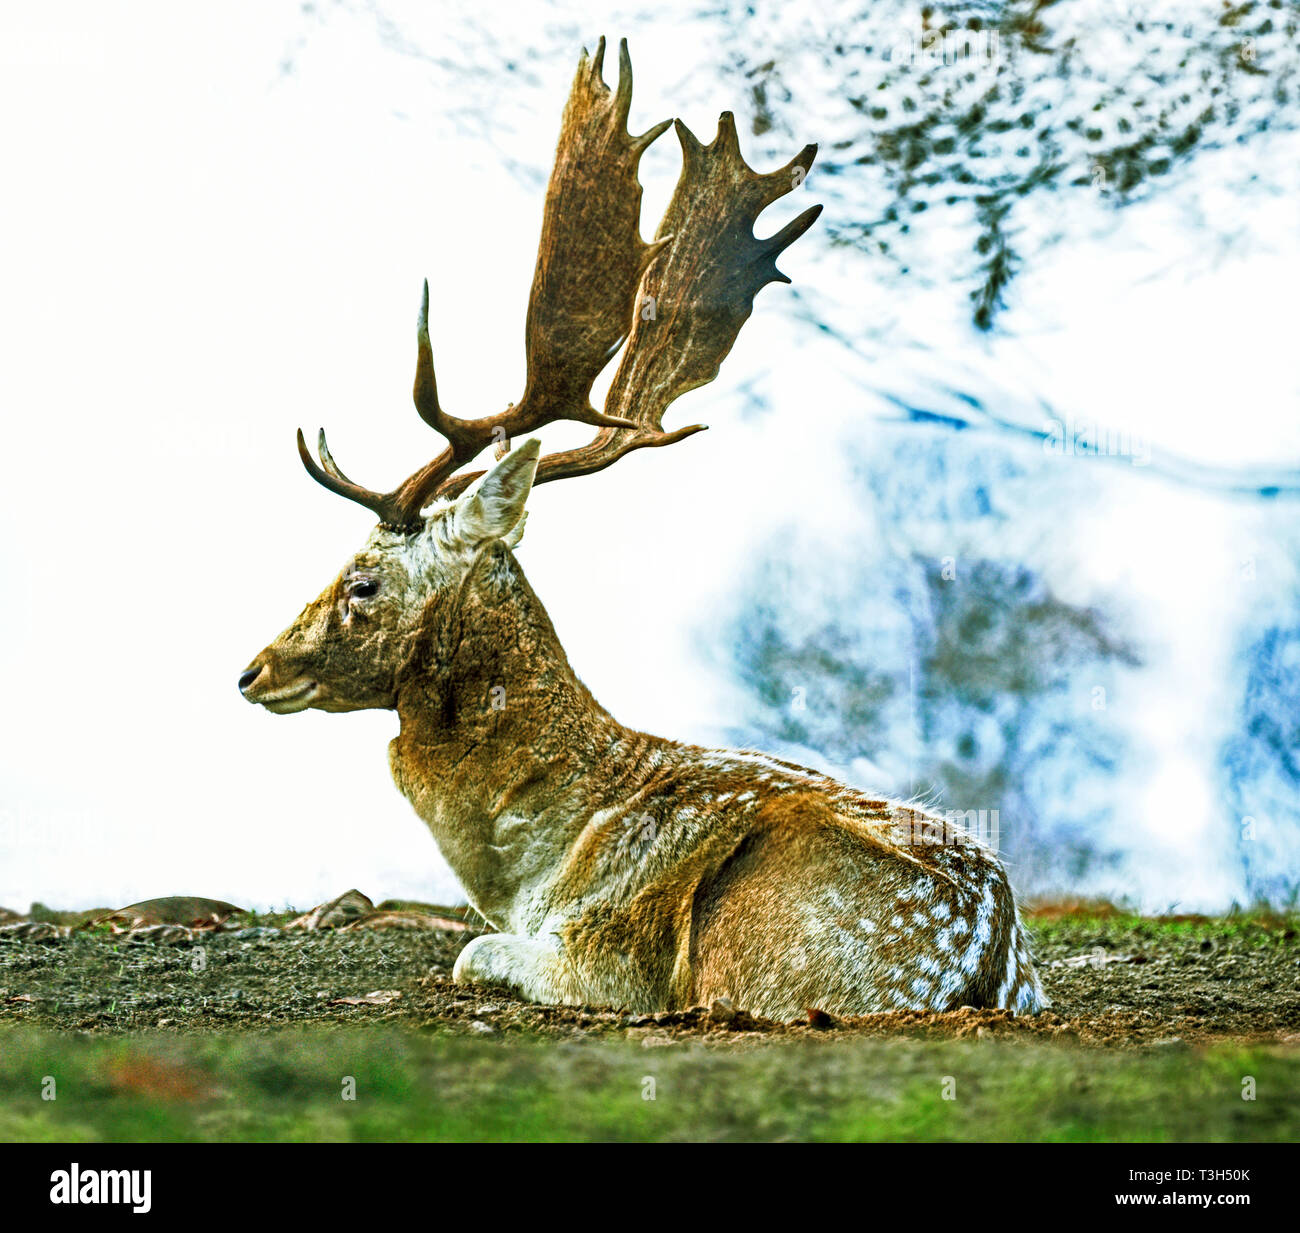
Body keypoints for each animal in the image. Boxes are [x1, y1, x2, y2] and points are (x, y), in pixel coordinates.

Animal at [238, 38, 1047, 1020]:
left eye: (363, 580)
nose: (253, 669)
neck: (532, 862)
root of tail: (983, 966)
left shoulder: (598, 949)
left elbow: (472, 952)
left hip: (753, 942)